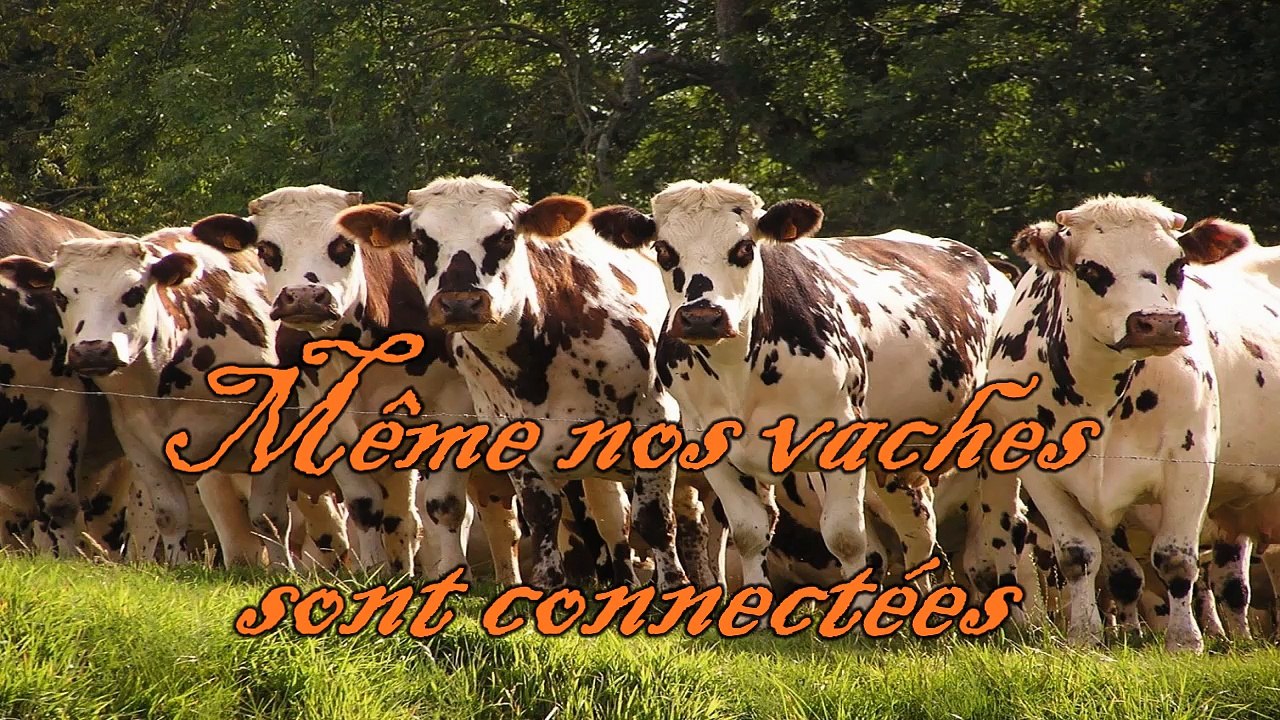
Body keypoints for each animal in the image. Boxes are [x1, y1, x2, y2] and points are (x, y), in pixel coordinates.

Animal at [0, 227, 299, 567]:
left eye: (133, 293)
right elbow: (170, 514)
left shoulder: (276, 431)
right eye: (60, 296)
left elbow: (269, 517)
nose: (92, 350)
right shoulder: (137, 440)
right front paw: (178, 566)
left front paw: (281, 570)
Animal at [190, 184, 524, 580]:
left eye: (342, 245)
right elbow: (365, 505)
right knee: (401, 517)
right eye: (267, 249)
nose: (305, 296)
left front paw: (452, 572)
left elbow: (445, 504)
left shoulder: (453, 412)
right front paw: (374, 570)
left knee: (496, 517)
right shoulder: (331, 425)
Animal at [332, 175, 692, 590]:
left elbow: (653, 518)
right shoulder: (515, 441)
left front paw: (673, 585)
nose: (461, 303)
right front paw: (550, 582)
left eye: (504, 236)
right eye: (420, 240)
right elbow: (542, 515)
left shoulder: (654, 421)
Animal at [589, 179, 1016, 594]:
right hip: (897, 464)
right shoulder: (712, 448)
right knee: (919, 534)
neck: (739, 373)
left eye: (744, 247)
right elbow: (750, 535)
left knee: (998, 532)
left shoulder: (843, 441)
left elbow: (848, 540)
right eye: (663, 250)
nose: (702, 317)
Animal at [983, 194, 1280, 653]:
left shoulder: (1190, 464)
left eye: (1178, 266)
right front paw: (1089, 634)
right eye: (1090, 268)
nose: (1158, 322)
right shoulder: (1040, 473)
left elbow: (1176, 559)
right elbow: (1085, 559)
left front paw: (1184, 640)